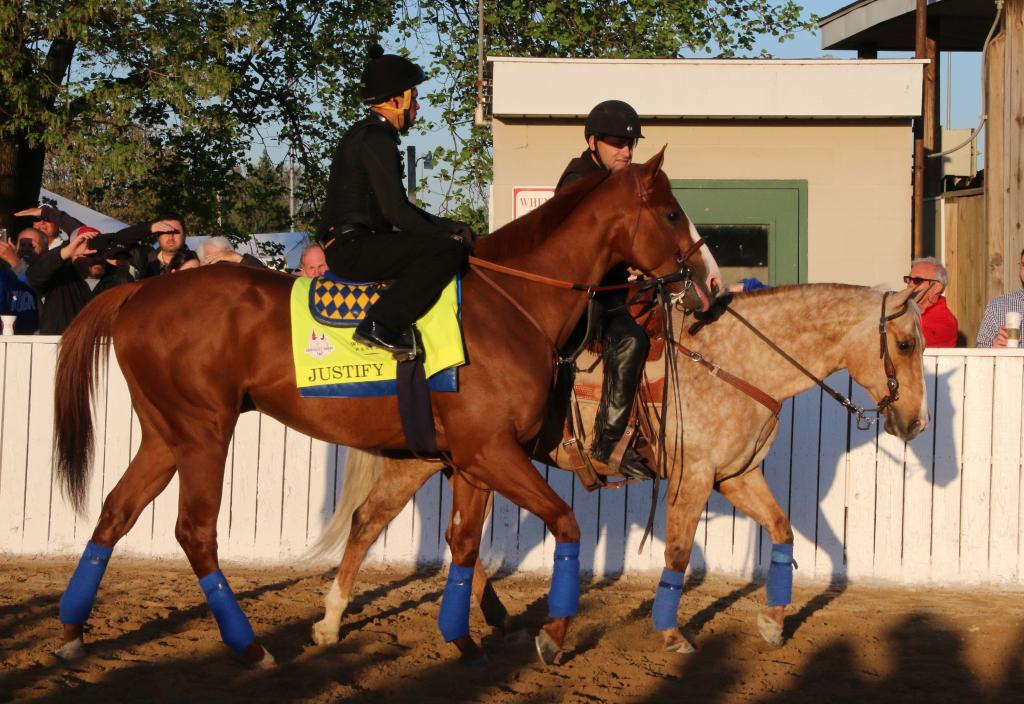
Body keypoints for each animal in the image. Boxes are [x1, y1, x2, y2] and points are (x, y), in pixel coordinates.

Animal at [51, 149, 719, 667]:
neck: (511, 301)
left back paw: (72, 632)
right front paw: (551, 634)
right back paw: (249, 646)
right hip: (203, 435)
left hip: (166, 436)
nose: (711, 284)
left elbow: (464, 543)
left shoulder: (469, 459)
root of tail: (141, 290)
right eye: (669, 212)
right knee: (194, 531)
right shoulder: (491, 452)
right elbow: (563, 524)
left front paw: (461, 637)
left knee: (115, 514)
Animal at [311, 283, 928, 661]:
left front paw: (774, 623)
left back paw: (486, 615)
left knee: (425, 532)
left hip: (452, 464)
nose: (916, 422)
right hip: (432, 463)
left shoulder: (738, 477)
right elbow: (676, 554)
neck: (735, 361)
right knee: (371, 523)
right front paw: (671, 632)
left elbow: (782, 532)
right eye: (903, 342)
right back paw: (334, 622)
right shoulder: (694, 478)